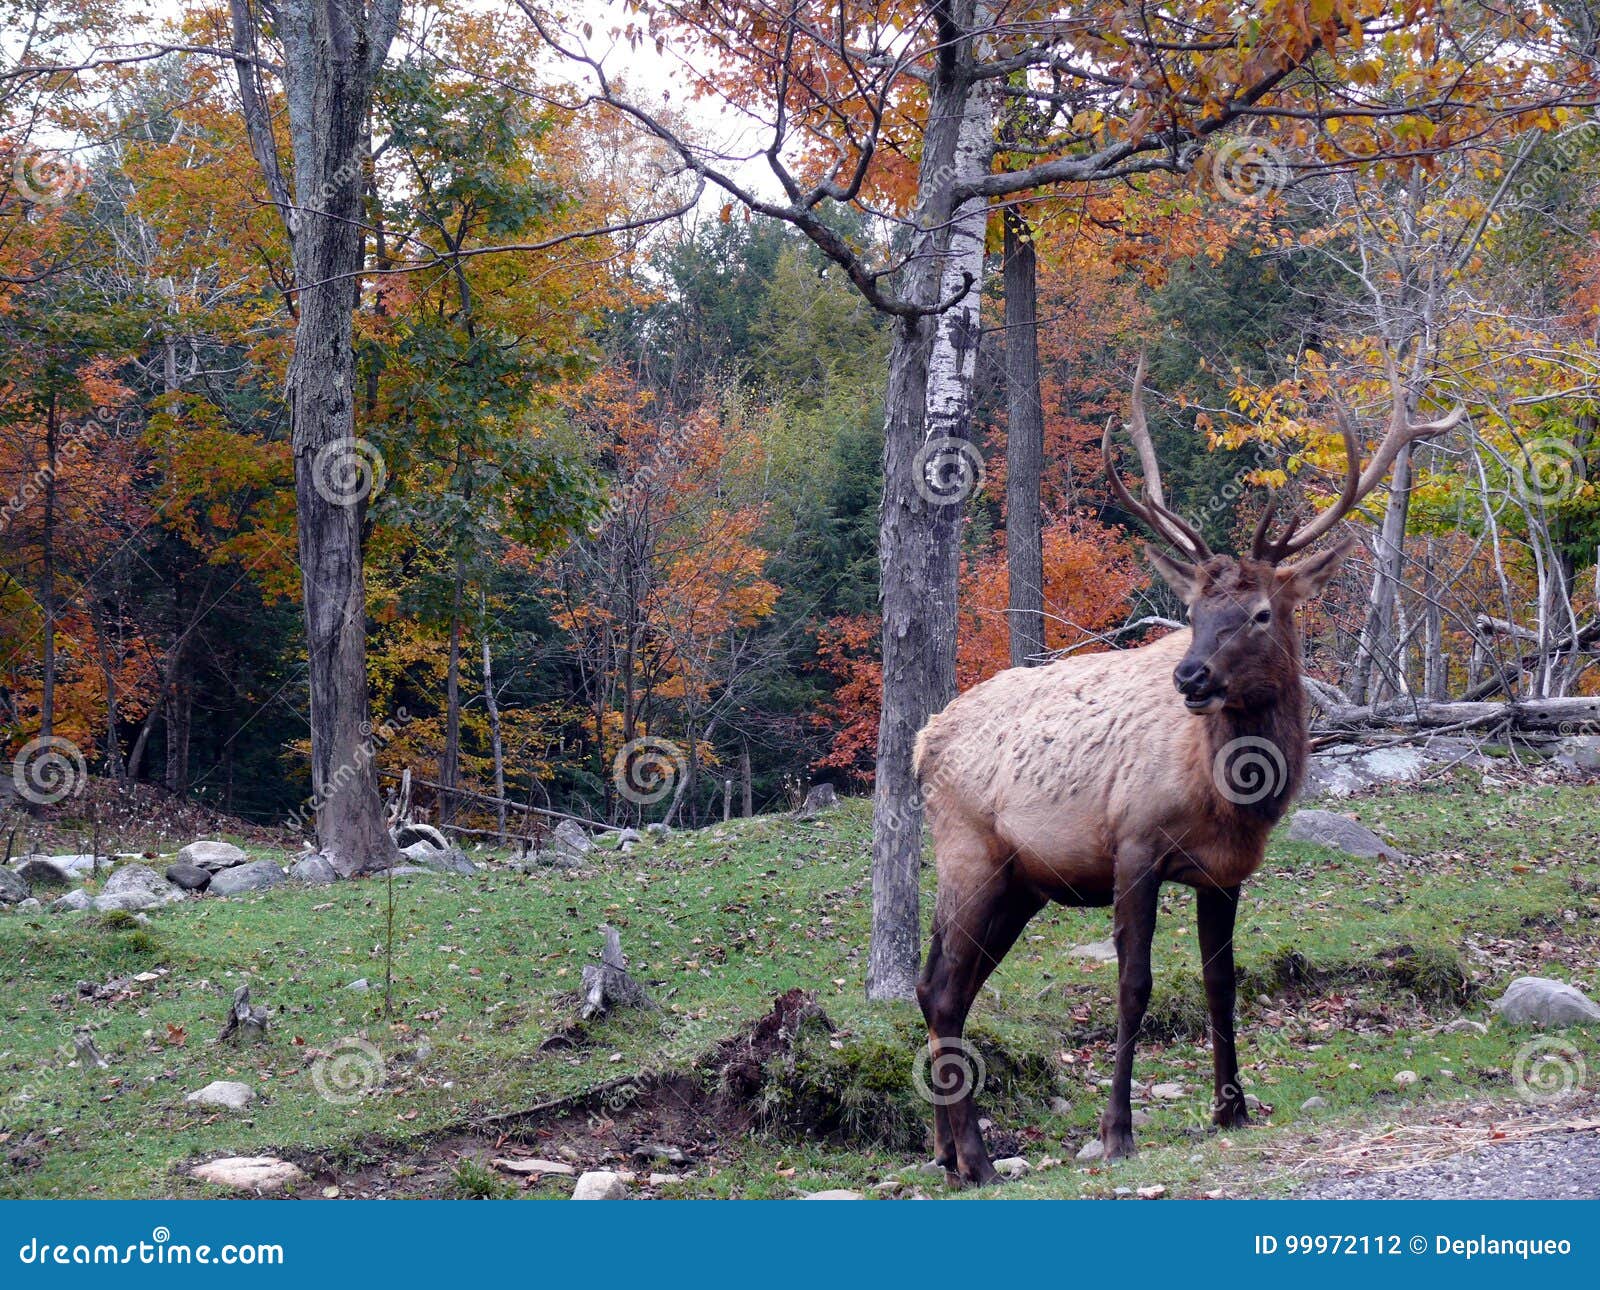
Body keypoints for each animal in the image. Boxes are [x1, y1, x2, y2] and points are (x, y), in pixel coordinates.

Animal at [912, 354, 1463, 1185]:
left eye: (1262, 613)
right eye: (1196, 611)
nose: (1191, 675)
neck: (1231, 796)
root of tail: (923, 742)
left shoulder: (1225, 871)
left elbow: (1221, 984)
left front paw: (1232, 1108)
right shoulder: (1135, 845)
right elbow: (1134, 986)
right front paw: (1118, 1131)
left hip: (1019, 882)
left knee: (936, 985)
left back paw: (948, 1153)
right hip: (969, 851)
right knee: (944, 992)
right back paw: (974, 1158)